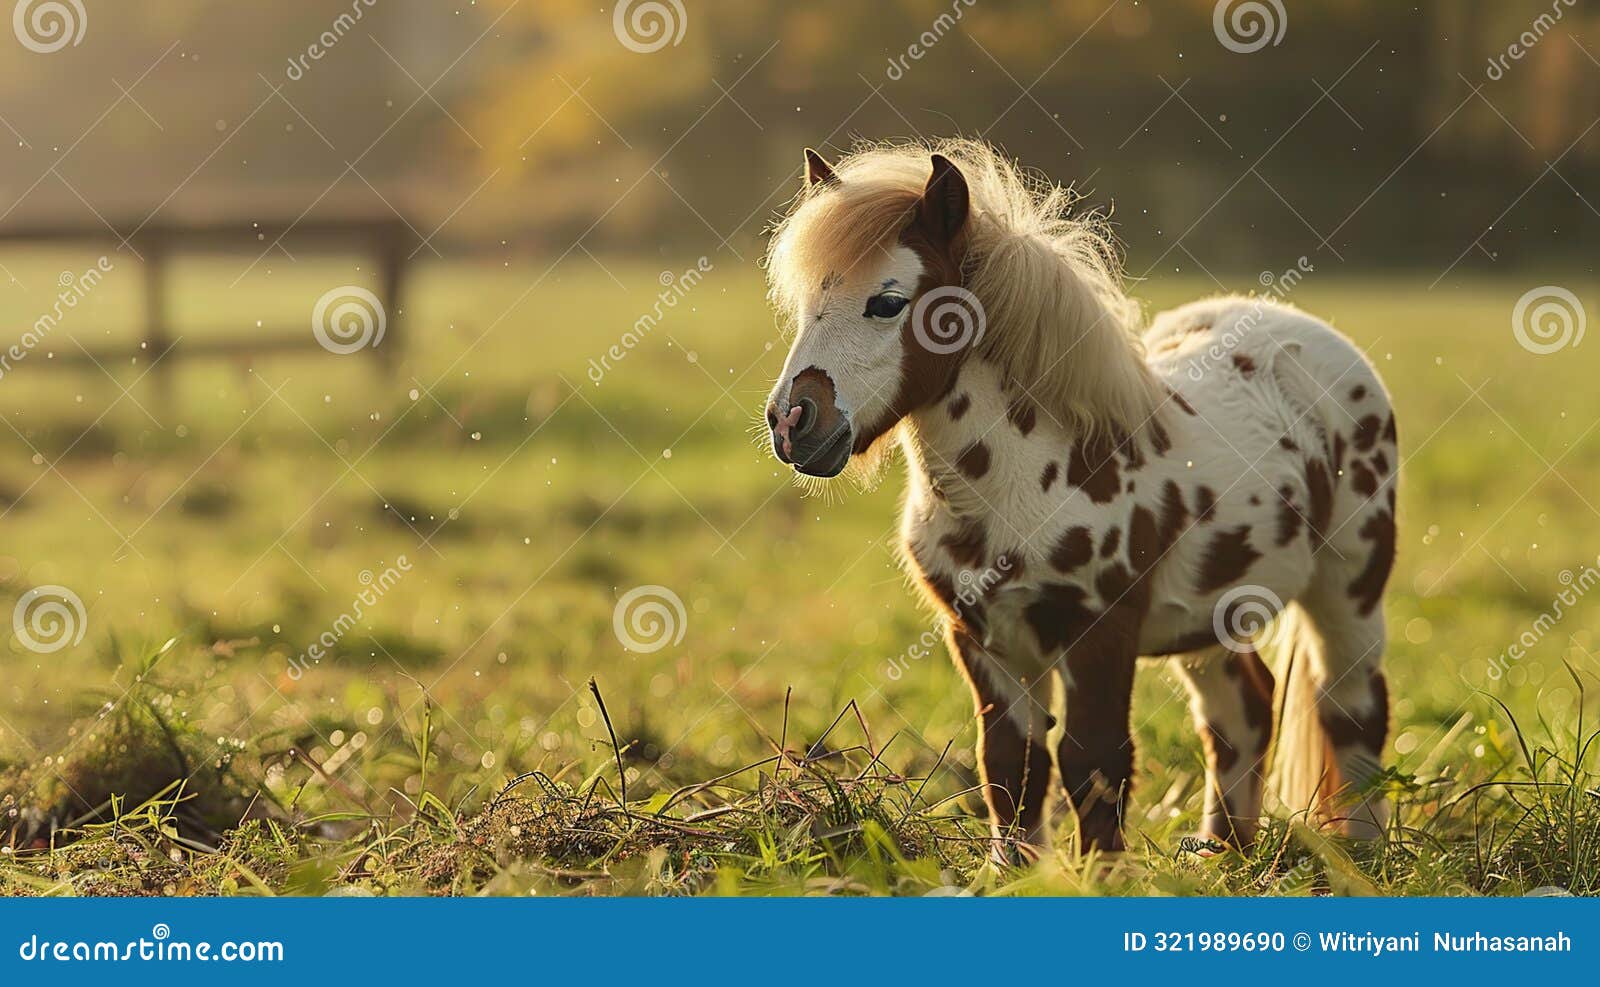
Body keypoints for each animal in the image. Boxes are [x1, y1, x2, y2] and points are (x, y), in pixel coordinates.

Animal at [760, 139, 1397, 855]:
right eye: (803, 299)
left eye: (888, 302)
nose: (792, 422)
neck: (1019, 487)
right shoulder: (982, 639)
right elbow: (1012, 765)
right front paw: (1018, 869)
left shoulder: (1100, 631)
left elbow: (1095, 761)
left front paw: (1102, 870)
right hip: (1217, 613)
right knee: (1243, 713)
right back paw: (1223, 854)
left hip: (1350, 589)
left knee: (1353, 711)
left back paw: (1362, 853)